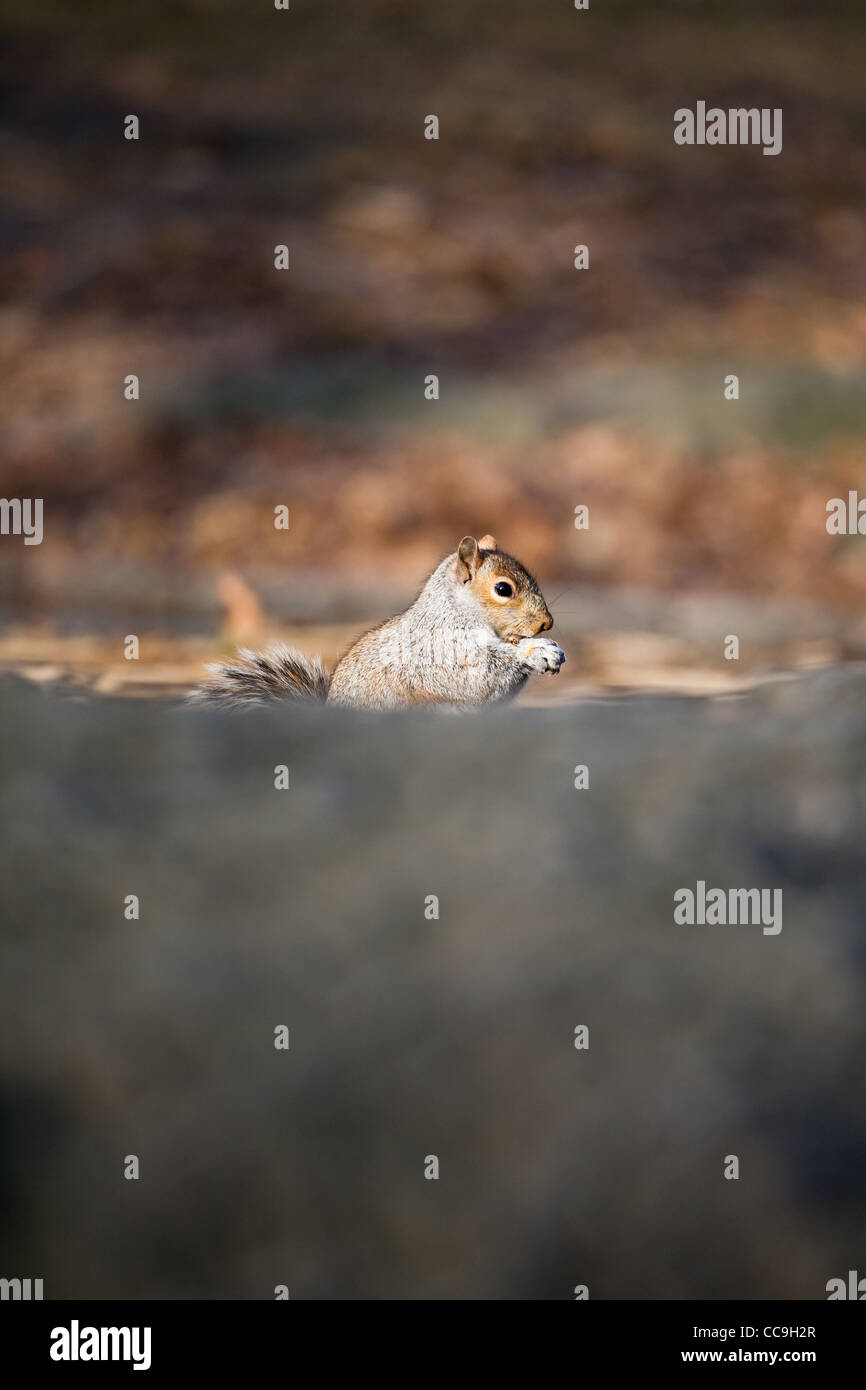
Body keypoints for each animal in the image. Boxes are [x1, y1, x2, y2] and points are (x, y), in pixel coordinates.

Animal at [189, 534, 565, 710]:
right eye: (503, 589)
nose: (546, 624)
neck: (454, 612)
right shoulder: (440, 652)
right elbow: (478, 676)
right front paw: (536, 651)